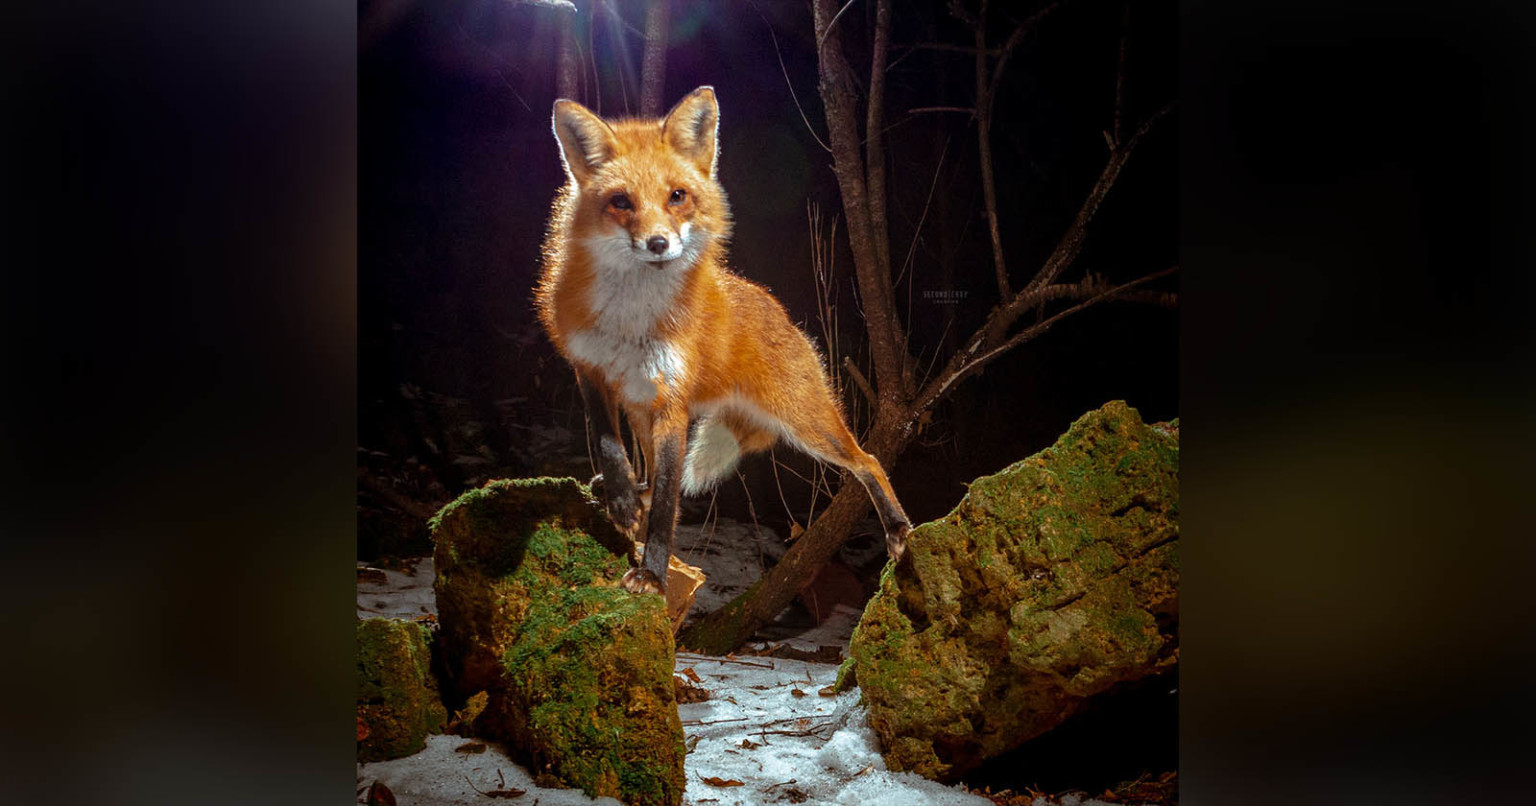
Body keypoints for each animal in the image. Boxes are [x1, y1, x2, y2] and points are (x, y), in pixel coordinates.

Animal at [535, 86, 911, 595]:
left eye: (677, 196)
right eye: (621, 201)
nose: (658, 243)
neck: (631, 317)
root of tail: (779, 309)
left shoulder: (671, 401)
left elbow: (667, 507)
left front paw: (653, 573)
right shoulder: (590, 369)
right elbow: (609, 444)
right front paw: (622, 500)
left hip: (806, 421)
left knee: (868, 459)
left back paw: (897, 527)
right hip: (642, 407)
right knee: (652, 470)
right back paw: (634, 492)